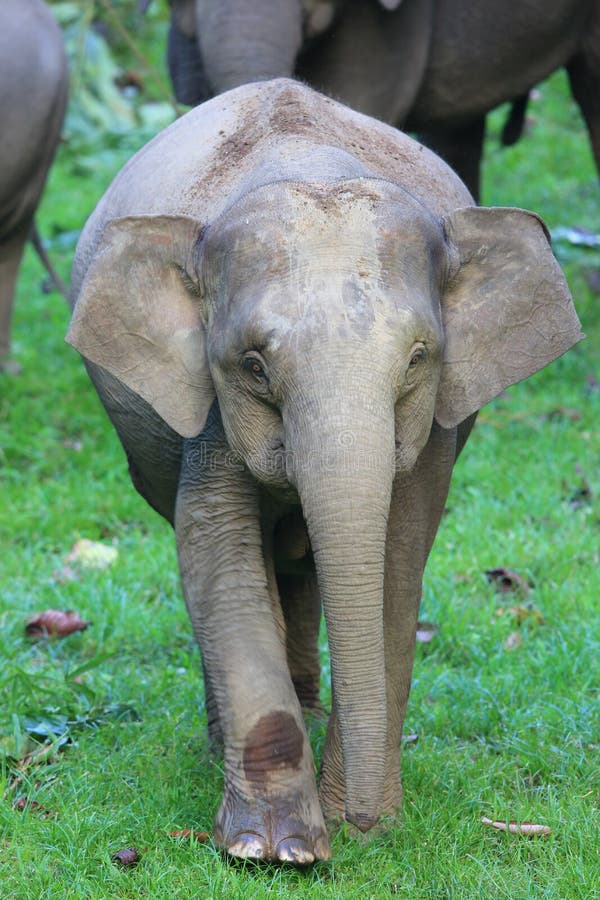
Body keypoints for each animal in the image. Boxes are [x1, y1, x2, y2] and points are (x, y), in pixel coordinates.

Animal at [67, 79, 582, 863]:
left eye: (417, 358)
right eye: (254, 365)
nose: (362, 826)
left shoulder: (432, 429)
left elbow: (397, 561)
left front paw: (356, 818)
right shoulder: (207, 412)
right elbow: (216, 549)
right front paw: (273, 849)